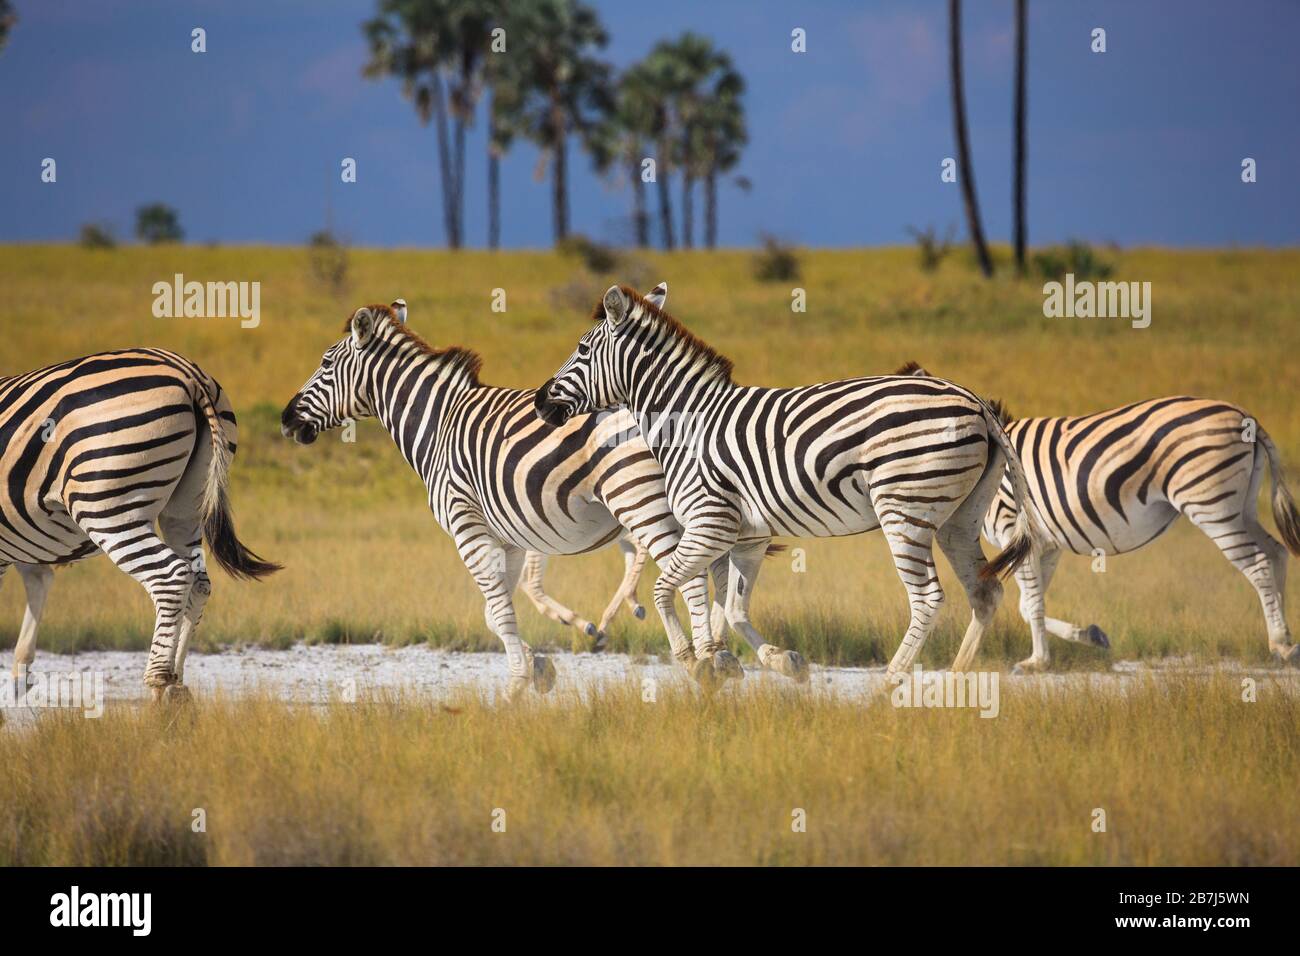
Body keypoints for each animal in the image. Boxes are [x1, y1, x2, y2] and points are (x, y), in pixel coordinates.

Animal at [1, 349, 279, 702]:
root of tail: (189, 374)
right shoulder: (21, 540)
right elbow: (39, 578)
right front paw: (20, 675)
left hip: (108, 508)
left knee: (171, 577)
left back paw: (159, 683)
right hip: (185, 509)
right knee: (199, 583)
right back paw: (176, 681)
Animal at [279, 291, 805, 700]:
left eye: (325, 363)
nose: (285, 419)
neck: (438, 422)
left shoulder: (466, 525)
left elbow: (498, 607)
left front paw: (516, 683)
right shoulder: (507, 537)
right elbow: (496, 611)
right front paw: (538, 667)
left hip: (644, 499)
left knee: (691, 577)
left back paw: (704, 662)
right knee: (717, 575)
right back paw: (748, 658)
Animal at [535, 285, 1046, 676]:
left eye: (582, 350)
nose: (540, 402)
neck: (687, 423)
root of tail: (975, 401)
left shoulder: (708, 522)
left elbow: (665, 591)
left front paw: (696, 662)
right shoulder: (747, 536)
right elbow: (731, 608)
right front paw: (760, 663)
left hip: (905, 510)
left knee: (927, 599)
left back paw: (891, 683)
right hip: (961, 517)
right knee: (984, 591)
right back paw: (955, 679)